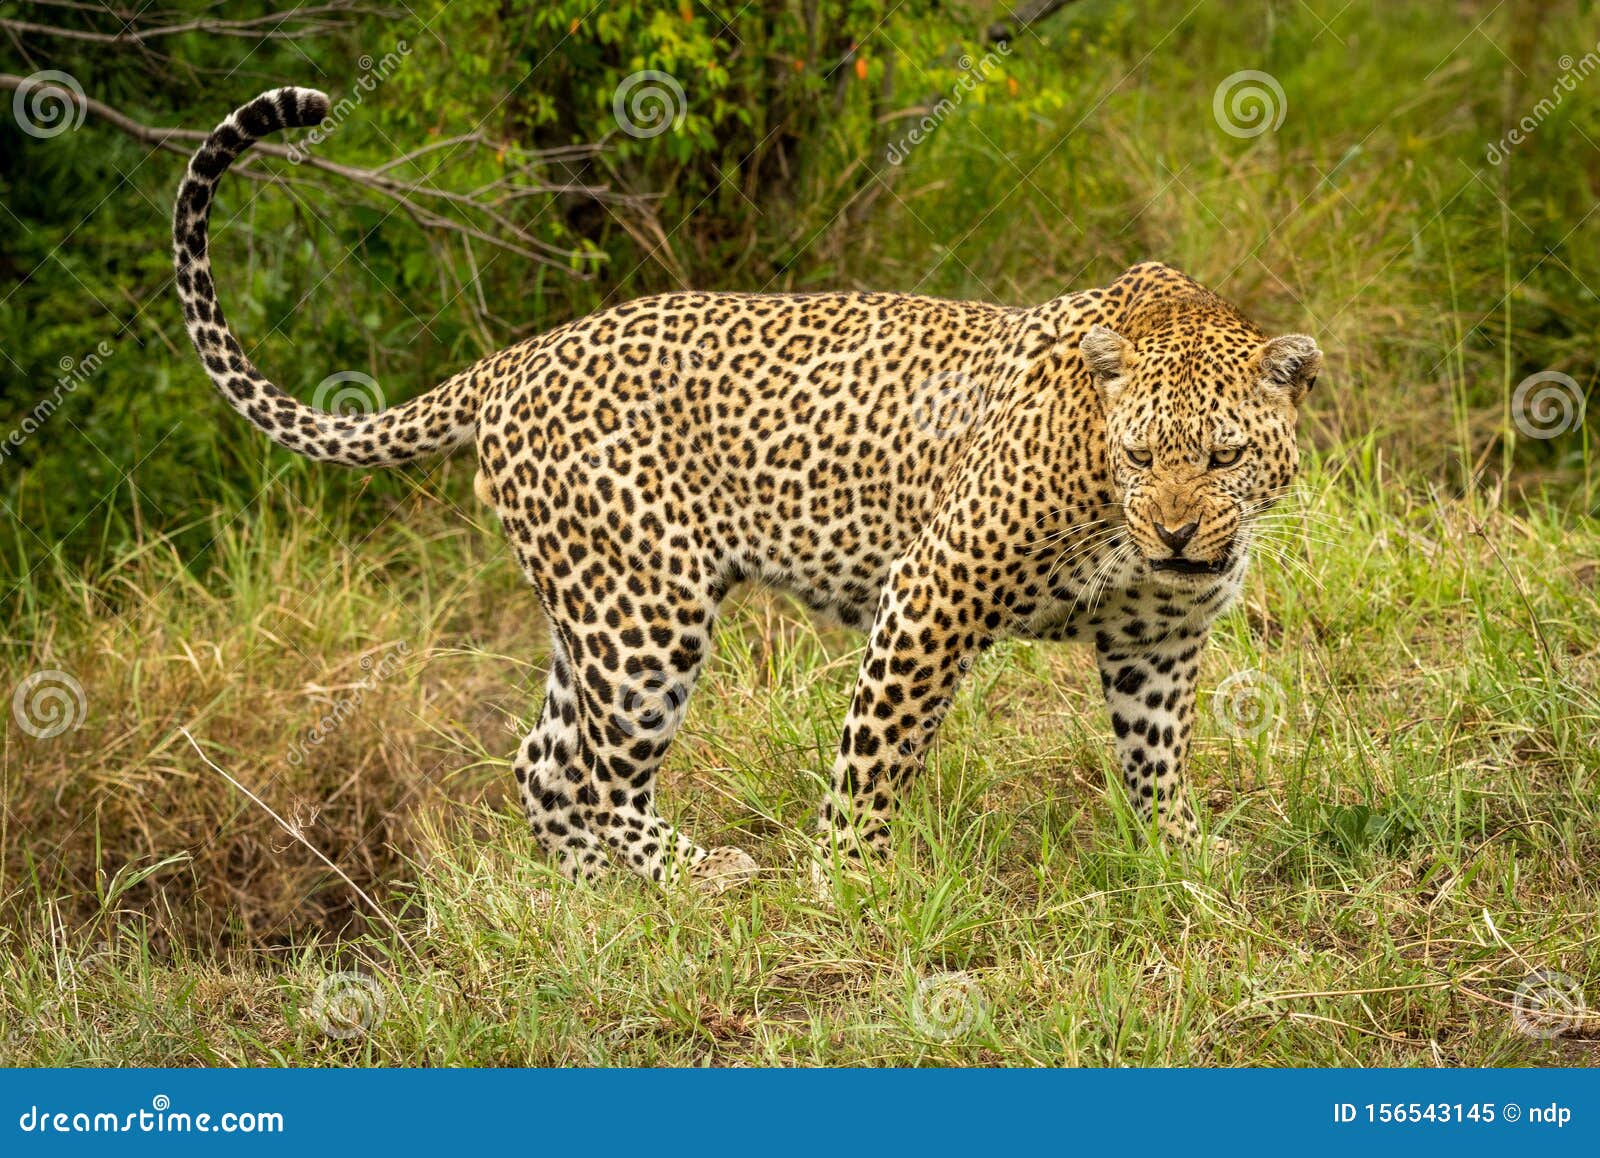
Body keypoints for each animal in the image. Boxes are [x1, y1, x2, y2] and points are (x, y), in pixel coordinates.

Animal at [172, 88, 1321, 894]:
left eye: (1222, 458)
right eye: (1142, 457)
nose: (1177, 535)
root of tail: (510, 363)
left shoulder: (1157, 640)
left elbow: (1155, 756)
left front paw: (1183, 853)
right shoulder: (934, 591)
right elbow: (877, 749)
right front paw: (849, 880)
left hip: (592, 608)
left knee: (543, 761)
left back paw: (607, 900)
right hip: (646, 611)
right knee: (595, 771)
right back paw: (697, 877)